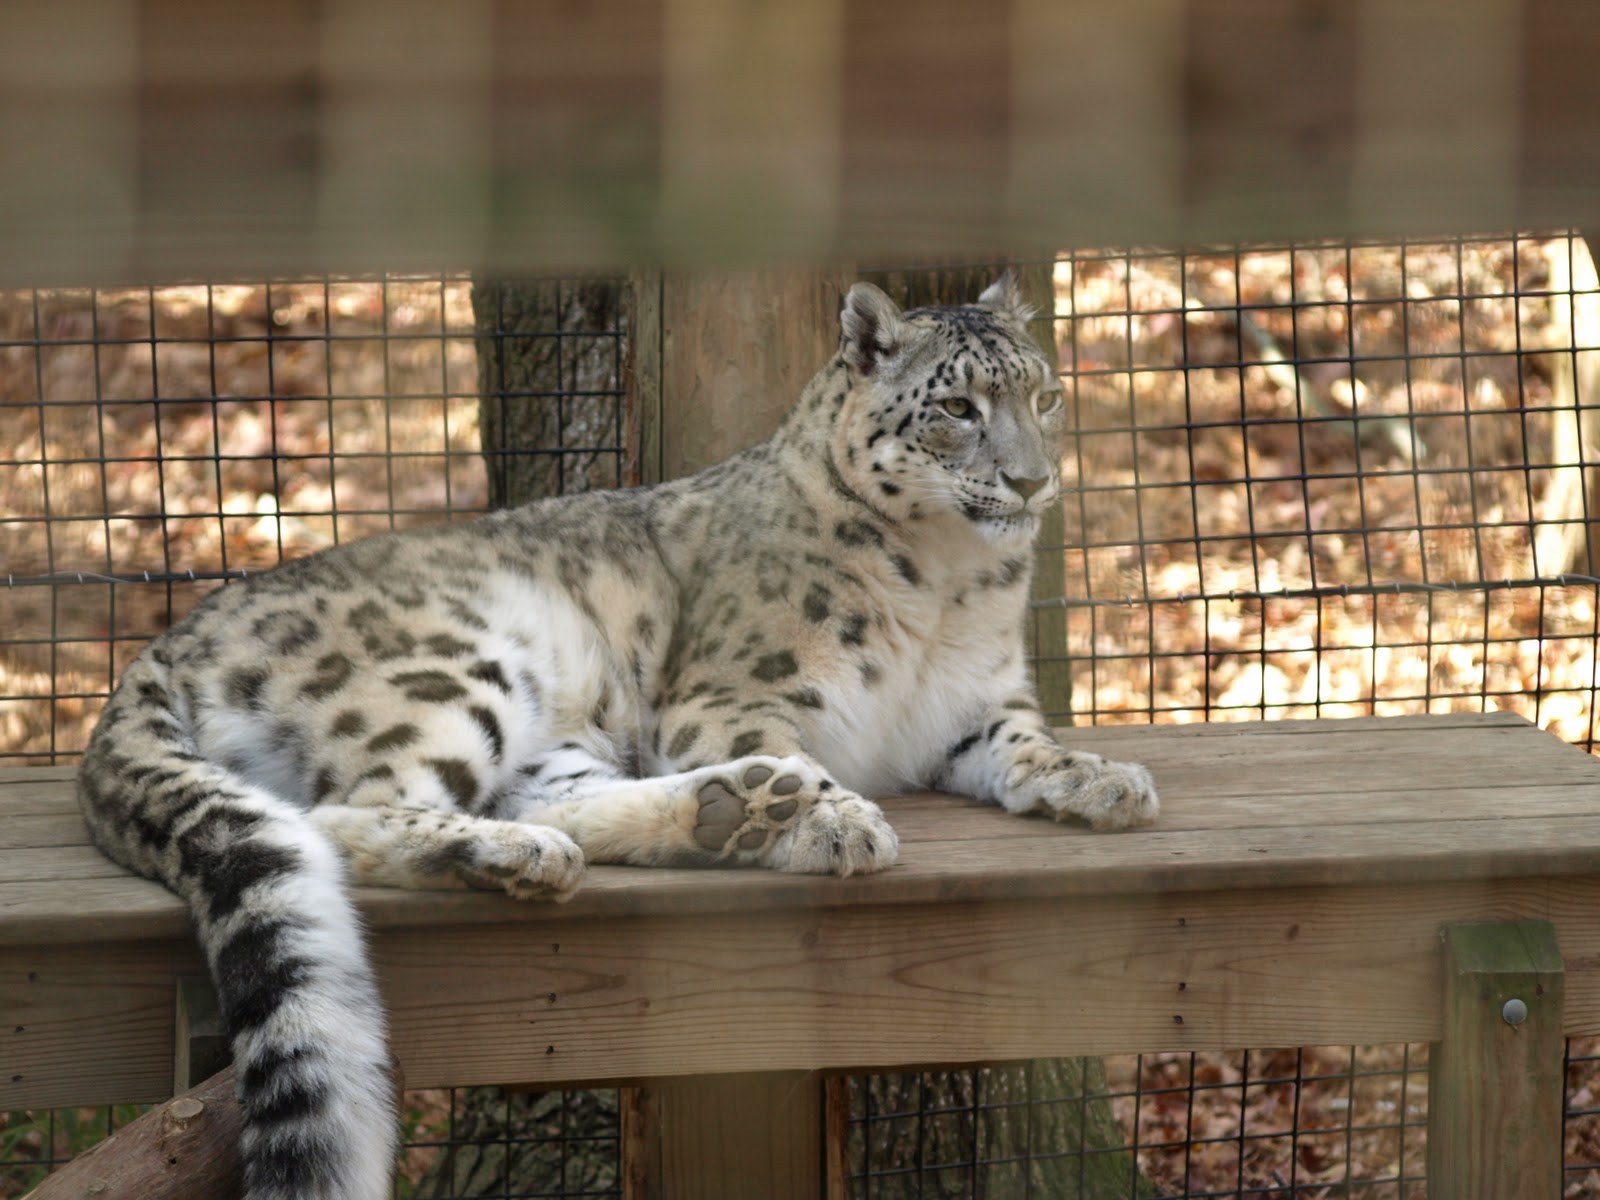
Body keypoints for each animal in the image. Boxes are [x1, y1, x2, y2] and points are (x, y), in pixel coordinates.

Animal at [76, 275, 1158, 1200]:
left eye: (1046, 396)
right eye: (959, 408)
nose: (1031, 482)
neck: (949, 588)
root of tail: (166, 641)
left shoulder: (979, 706)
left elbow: (1028, 748)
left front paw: (1104, 781)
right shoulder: (734, 698)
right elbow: (807, 754)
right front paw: (836, 820)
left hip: (551, 737)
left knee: (564, 803)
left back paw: (724, 812)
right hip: (458, 672)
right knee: (349, 811)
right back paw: (531, 849)